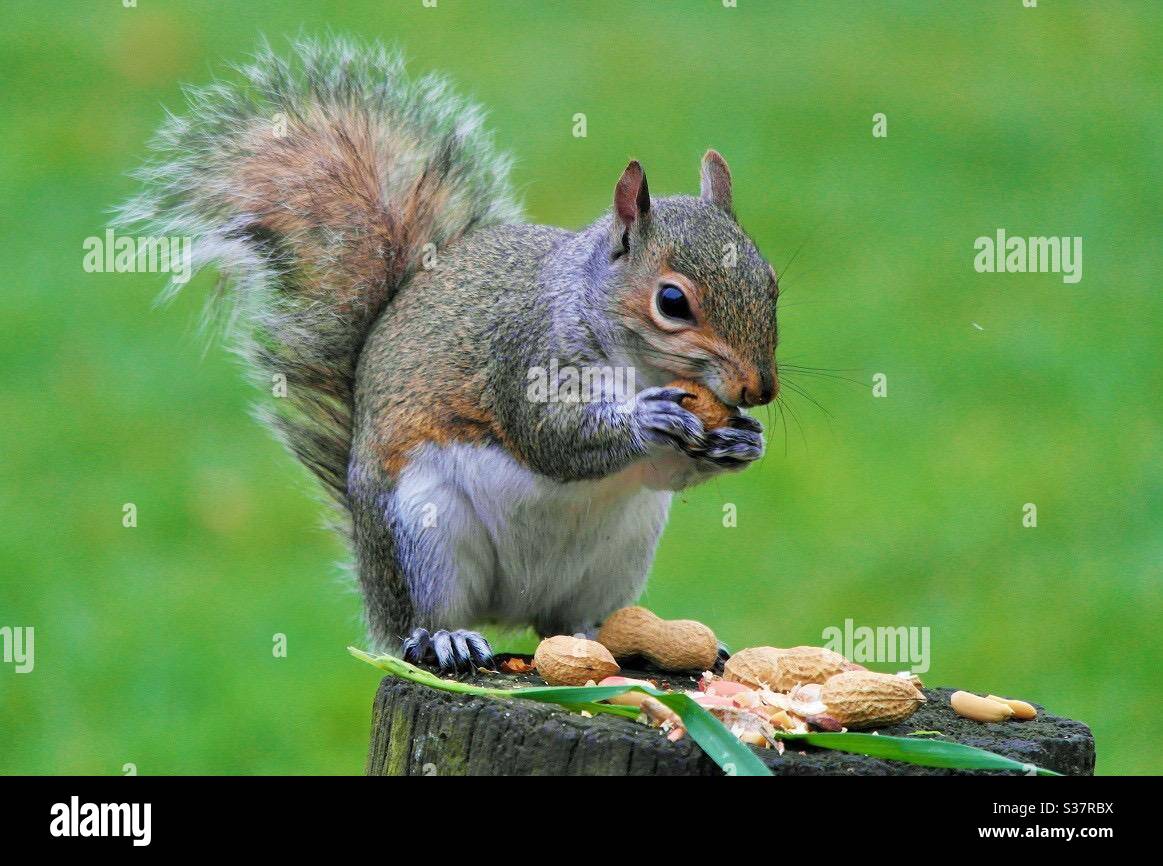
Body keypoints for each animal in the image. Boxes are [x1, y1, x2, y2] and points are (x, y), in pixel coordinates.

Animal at [118, 38, 780, 673]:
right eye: (672, 301)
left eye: (771, 281)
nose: (760, 390)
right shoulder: (525, 357)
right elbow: (553, 437)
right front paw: (649, 418)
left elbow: (667, 470)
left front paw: (743, 440)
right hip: (421, 532)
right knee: (421, 622)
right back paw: (447, 640)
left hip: (623, 550)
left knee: (568, 622)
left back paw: (604, 639)